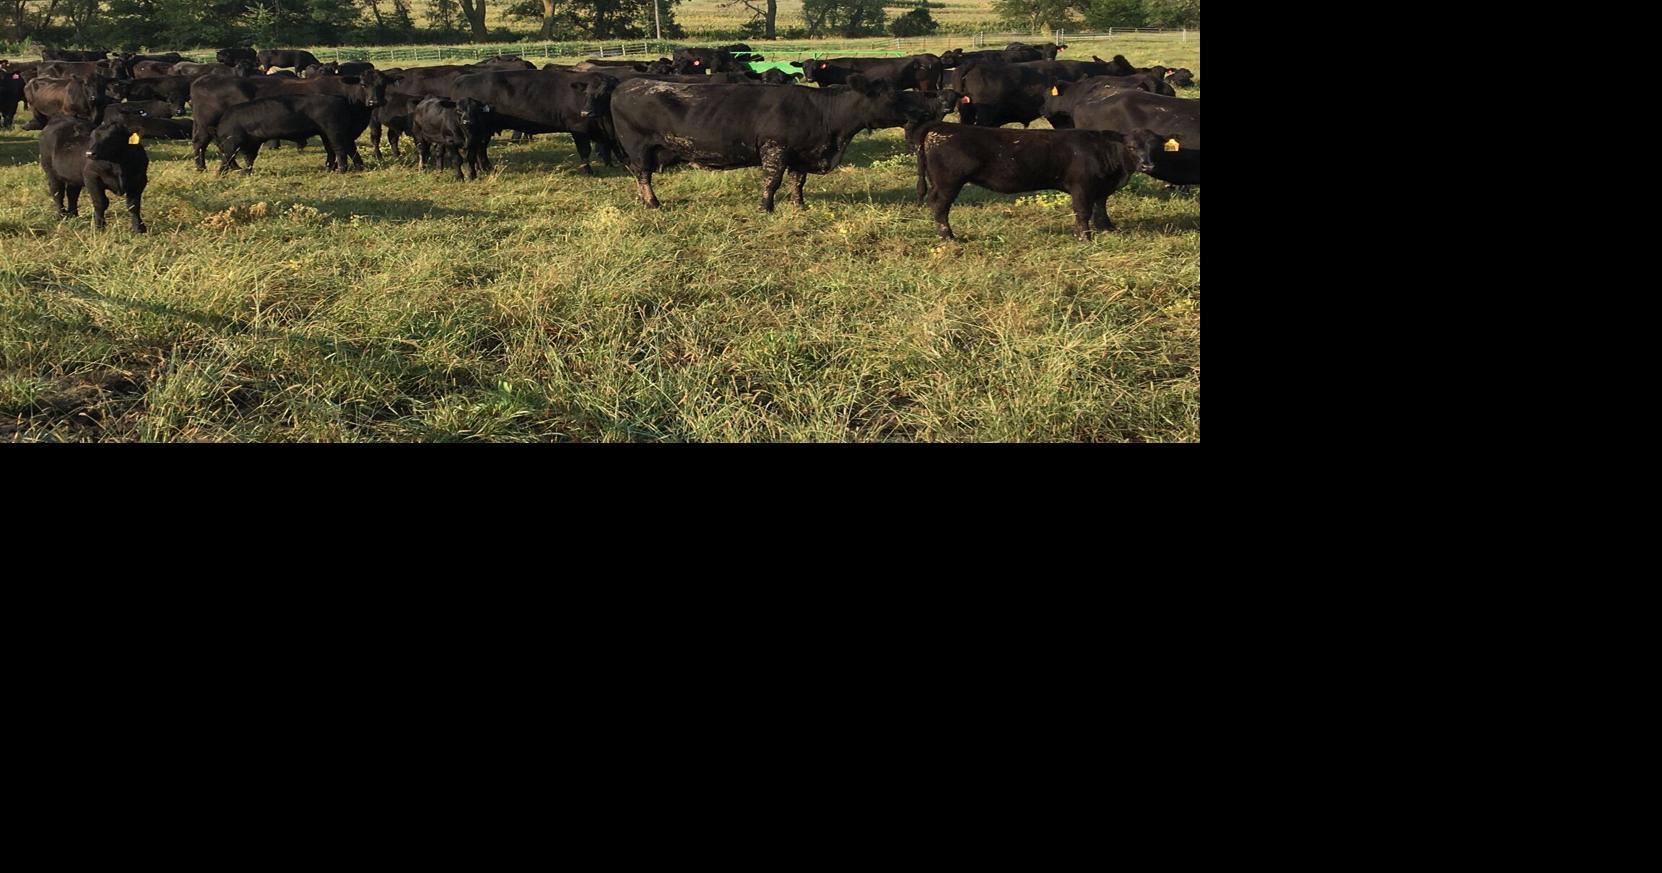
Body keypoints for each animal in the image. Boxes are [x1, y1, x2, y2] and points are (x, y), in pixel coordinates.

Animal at [214, 94, 369, 174]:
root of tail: (339, 98)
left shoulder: (232, 142)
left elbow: (228, 156)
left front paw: (219, 173)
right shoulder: (253, 143)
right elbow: (249, 157)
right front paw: (246, 171)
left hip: (333, 130)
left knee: (339, 149)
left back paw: (340, 170)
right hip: (335, 132)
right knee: (348, 147)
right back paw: (356, 168)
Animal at [607, 75, 954, 211]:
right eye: (893, 94)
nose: (934, 101)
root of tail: (629, 83)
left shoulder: (802, 154)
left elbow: (797, 182)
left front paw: (799, 205)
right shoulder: (775, 148)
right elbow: (771, 181)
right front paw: (766, 207)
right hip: (639, 148)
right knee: (642, 175)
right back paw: (652, 202)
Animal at [911, 121, 1153, 240]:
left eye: (1154, 145)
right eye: (1131, 146)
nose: (1147, 165)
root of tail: (939, 127)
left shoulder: (1101, 187)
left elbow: (1101, 207)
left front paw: (1107, 228)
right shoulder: (1081, 187)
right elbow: (1083, 212)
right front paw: (1085, 237)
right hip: (949, 184)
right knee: (940, 207)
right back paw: (948, 237)